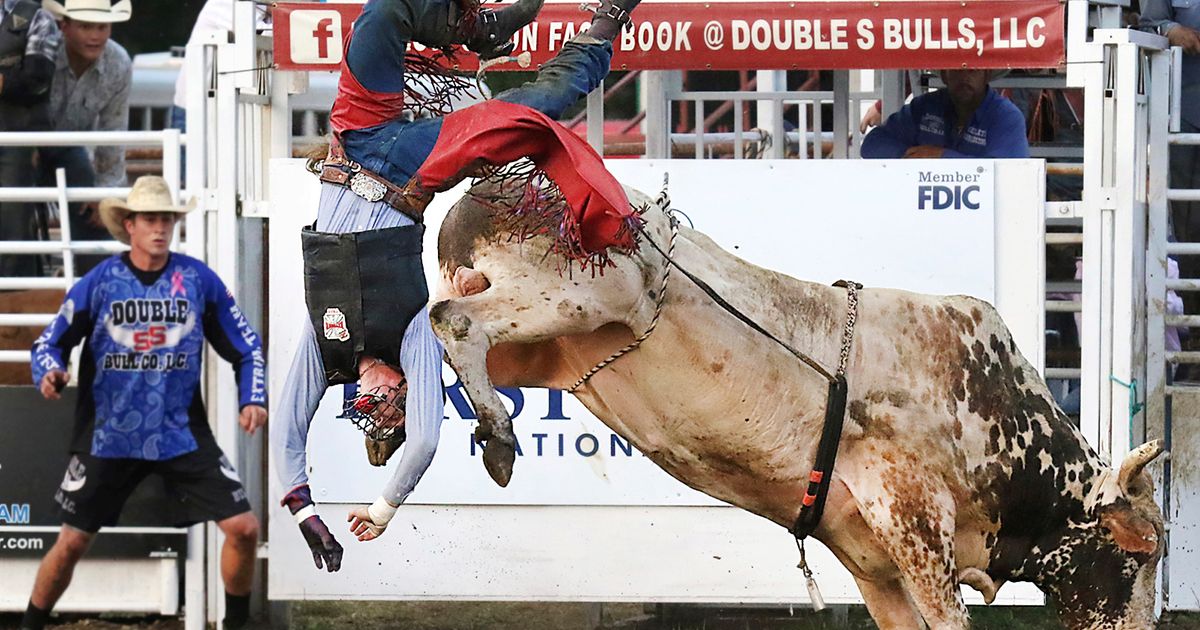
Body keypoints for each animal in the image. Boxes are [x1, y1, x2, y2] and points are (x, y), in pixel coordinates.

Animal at [419, 181, 1165, 630]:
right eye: (1143, 550)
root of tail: (480, 195)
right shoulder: (914, 518)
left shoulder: (874, 562)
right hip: (585, 297)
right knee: (453, 320)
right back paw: (499, 438)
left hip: (540, 348)